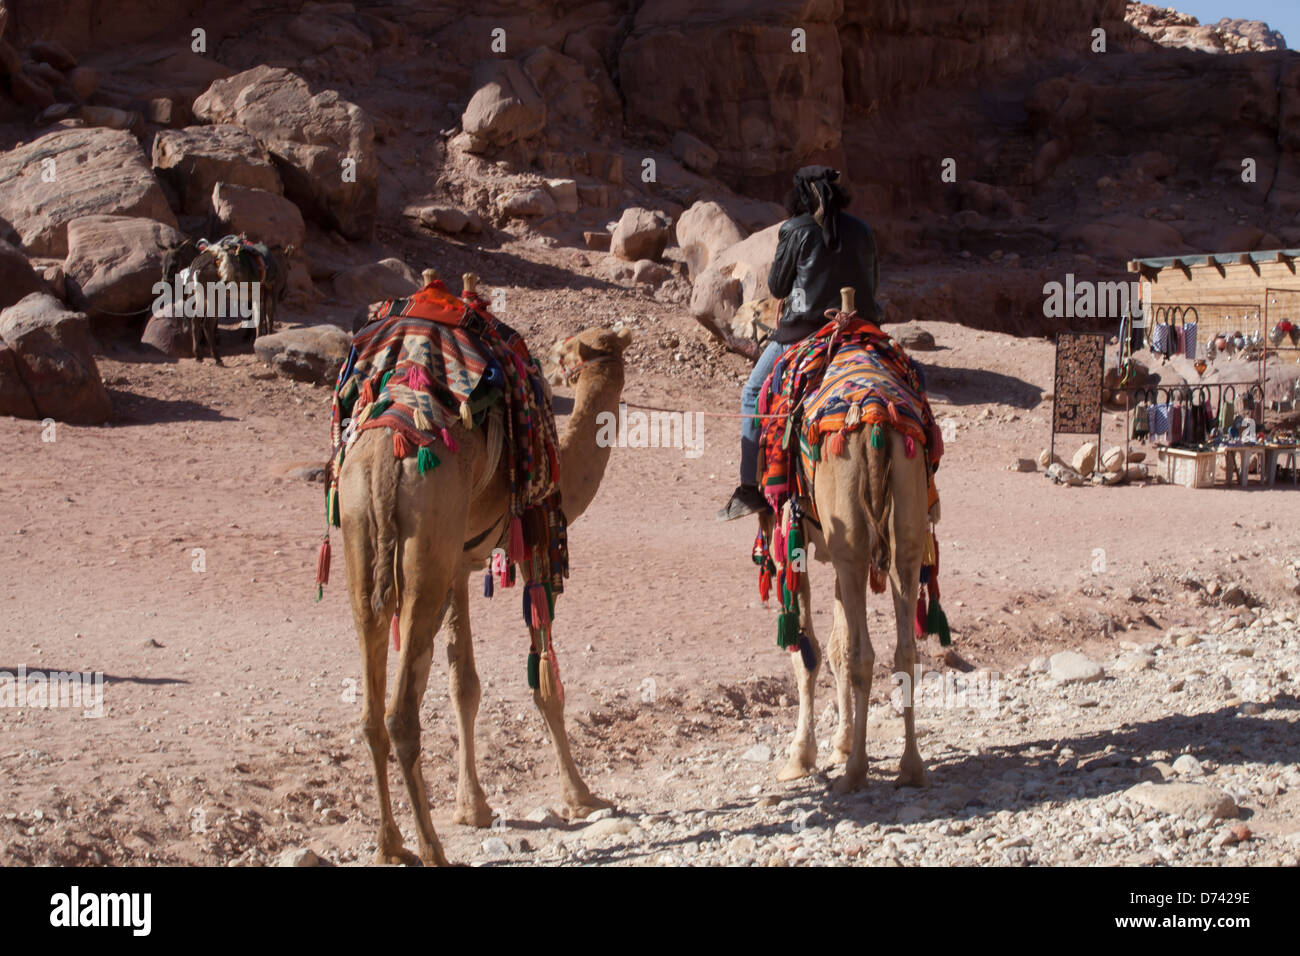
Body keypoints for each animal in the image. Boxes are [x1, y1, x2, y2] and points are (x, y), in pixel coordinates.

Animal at [338, 279, 631, 865]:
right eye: (565, 350)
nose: (559, 361)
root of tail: (383, 459)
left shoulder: (459, 565)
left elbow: (463, 683)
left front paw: (472, 807)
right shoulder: (536, 541)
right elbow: (545, 682)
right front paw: (581, 796)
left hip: (370, 540)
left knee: (372, 706)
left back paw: (391, 845)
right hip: (424, 544)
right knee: (400, 714)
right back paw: (431, 850)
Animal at [762, 287, 937, 793]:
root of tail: (875, 415)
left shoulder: (794, 543)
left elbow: (810, 653)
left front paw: (802, 756)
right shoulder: (840, 550)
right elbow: (838, 645)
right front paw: (838, 743)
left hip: (850, 544)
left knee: (864, 654)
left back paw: (857, 772)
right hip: (898, 536)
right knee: (903, 651)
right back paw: (910, 767)